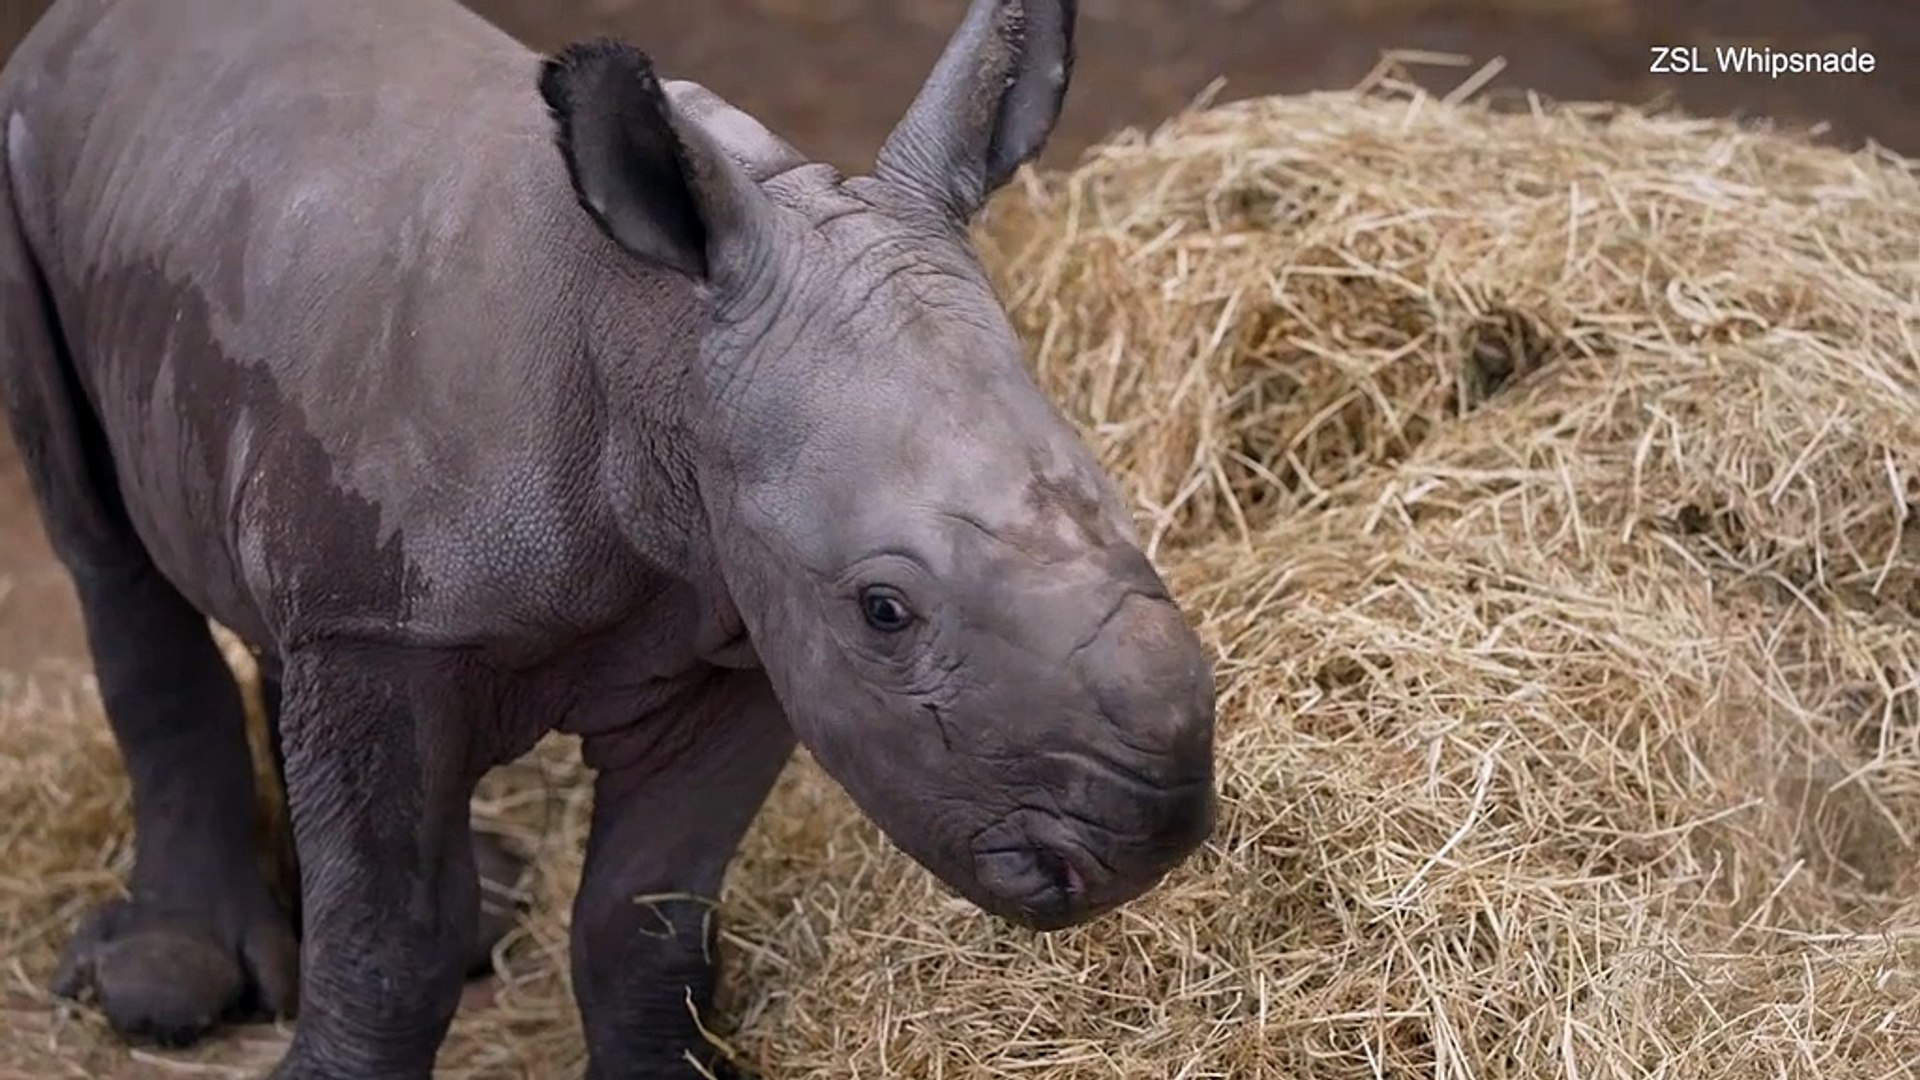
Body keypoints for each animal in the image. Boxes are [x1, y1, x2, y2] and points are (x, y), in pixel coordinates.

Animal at [0, 0, 1217, 1075]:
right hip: (27, 152)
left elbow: (641, 924)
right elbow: (388, 948)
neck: (664, 347)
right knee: (104, 543)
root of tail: (81, 25)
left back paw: (480, 909)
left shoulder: (739, 632)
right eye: (885, 611)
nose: (1150, 829)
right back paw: (165, 990)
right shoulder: (389, 634)